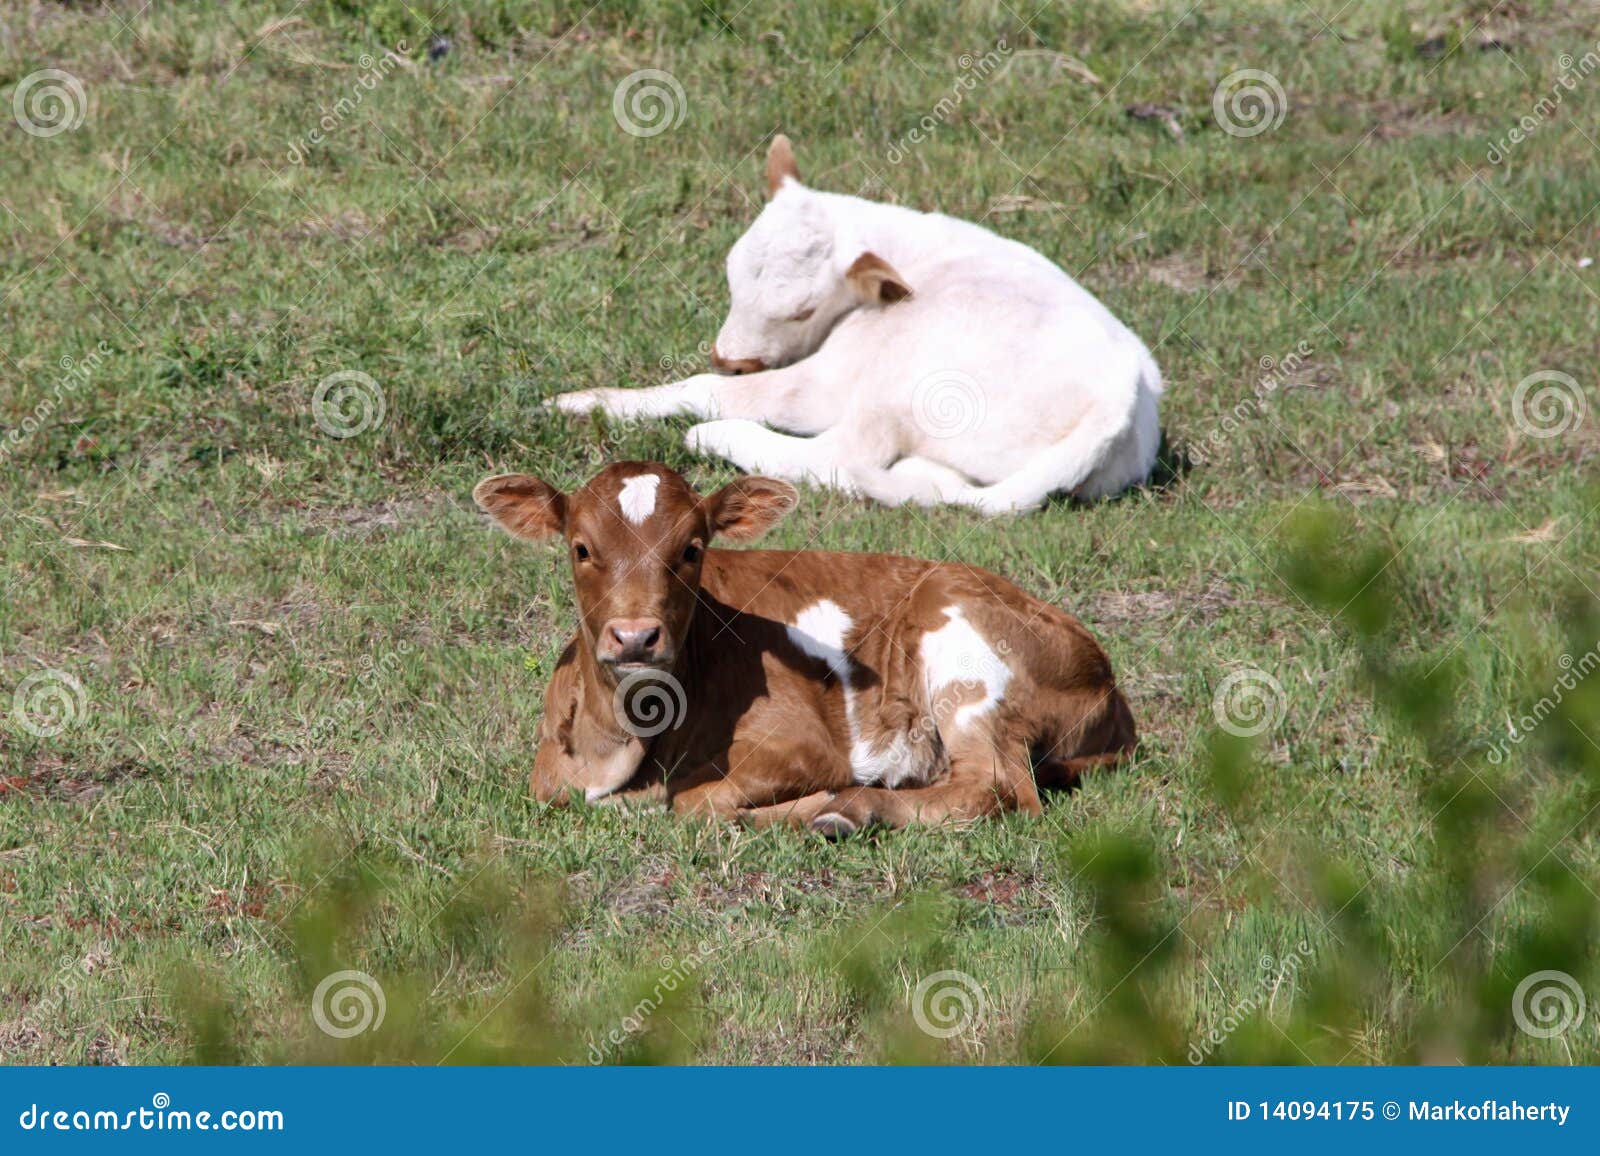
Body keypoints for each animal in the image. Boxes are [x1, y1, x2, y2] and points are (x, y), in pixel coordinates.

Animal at [473, 461, 1136, 834]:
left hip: (966, 658)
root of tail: (1103, 673)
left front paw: (818, 804)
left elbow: (695, 802)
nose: (635, 635)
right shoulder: (550, 778)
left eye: (692, 548)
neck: (615, 749)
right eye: (581, 548)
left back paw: (852, 810)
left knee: (997, 787)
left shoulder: (804, 746)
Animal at [550, 135, 1163, 515]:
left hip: (907, 384)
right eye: (729, 274)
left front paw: (583, 402)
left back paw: (716, 437)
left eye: (801, 309)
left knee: (842, 456)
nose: (730, 359)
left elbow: (708, 389)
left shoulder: (829, 377)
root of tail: (1119, 402)